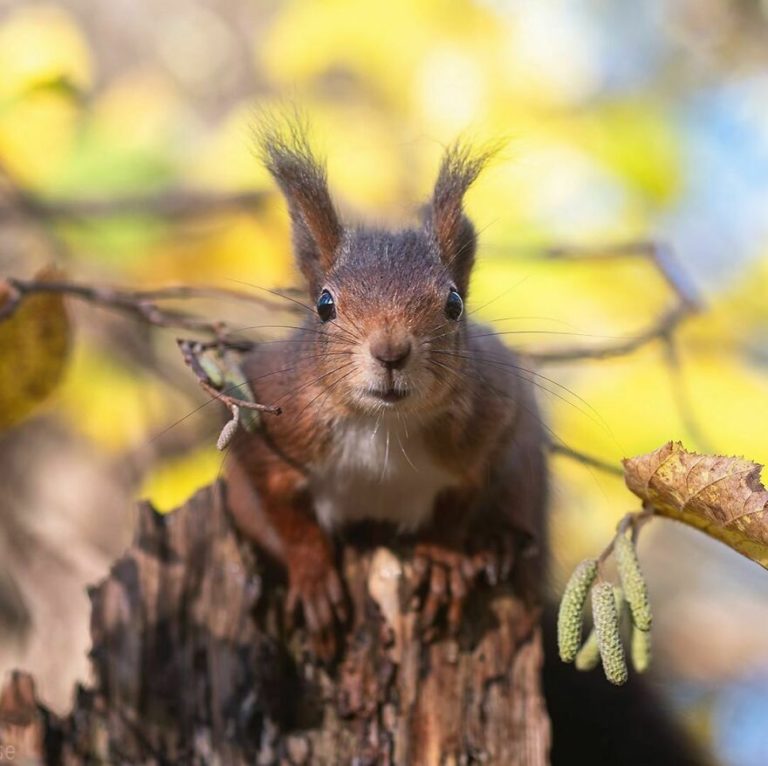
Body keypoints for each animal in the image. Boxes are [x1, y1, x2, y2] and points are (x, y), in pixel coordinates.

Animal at [225, 123, 548, 658]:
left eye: (454, 303)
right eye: (324, 304)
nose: (391, 352)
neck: (384, 424)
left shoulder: (492, 421)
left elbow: (457, 505)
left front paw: (440, 560)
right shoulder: (270, 418)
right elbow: (283, 511)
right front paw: (313, 577)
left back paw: (496, 544)